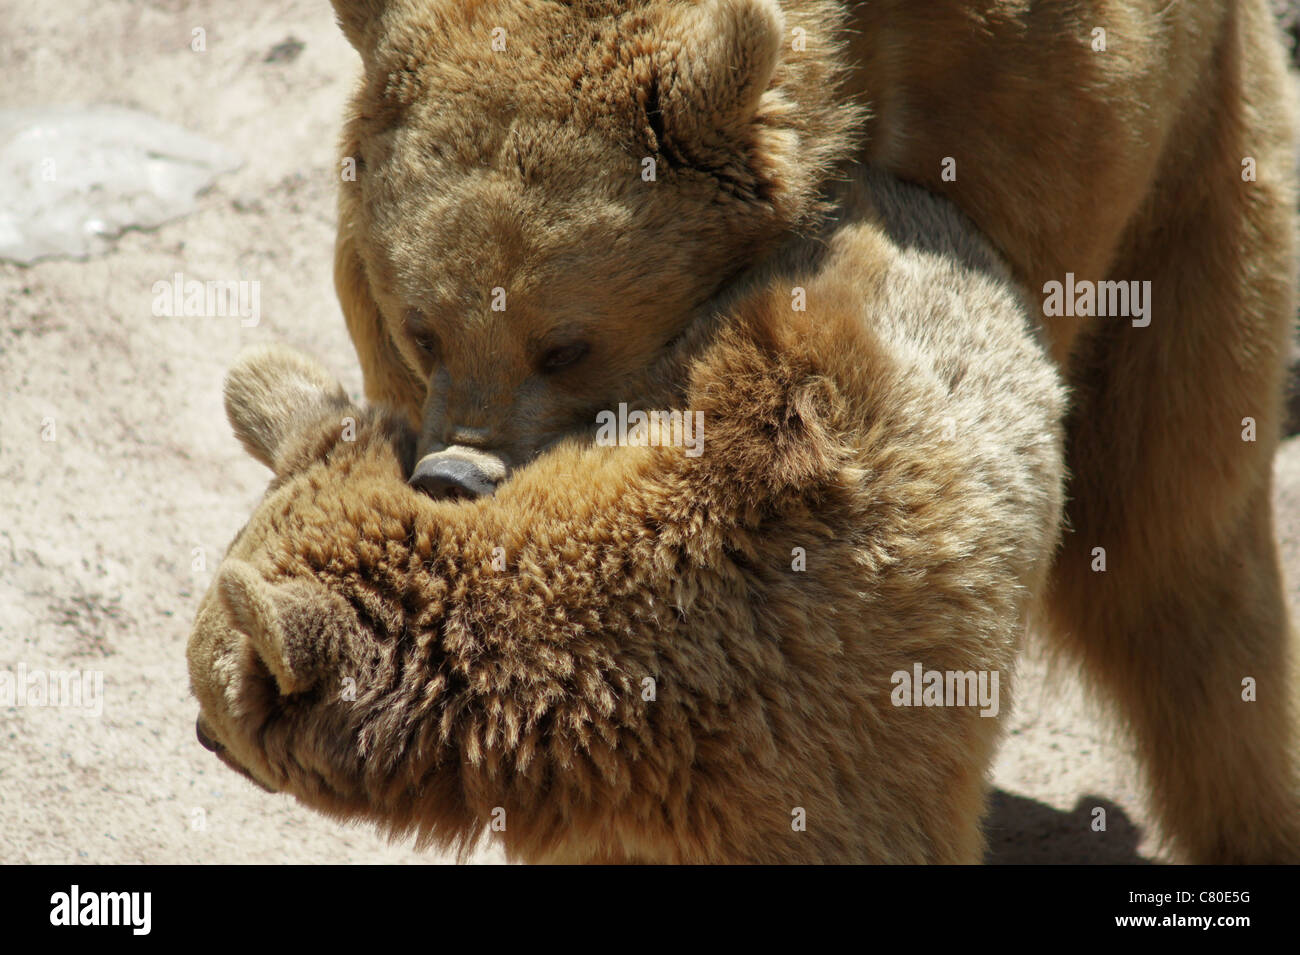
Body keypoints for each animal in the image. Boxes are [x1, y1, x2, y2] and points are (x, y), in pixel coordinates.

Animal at [328, 0, 1300, 863]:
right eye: (421, 329)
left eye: (564, 344)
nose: (454, 471)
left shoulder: (1032, 128)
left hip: (1200, 171)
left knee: (1175, 538)